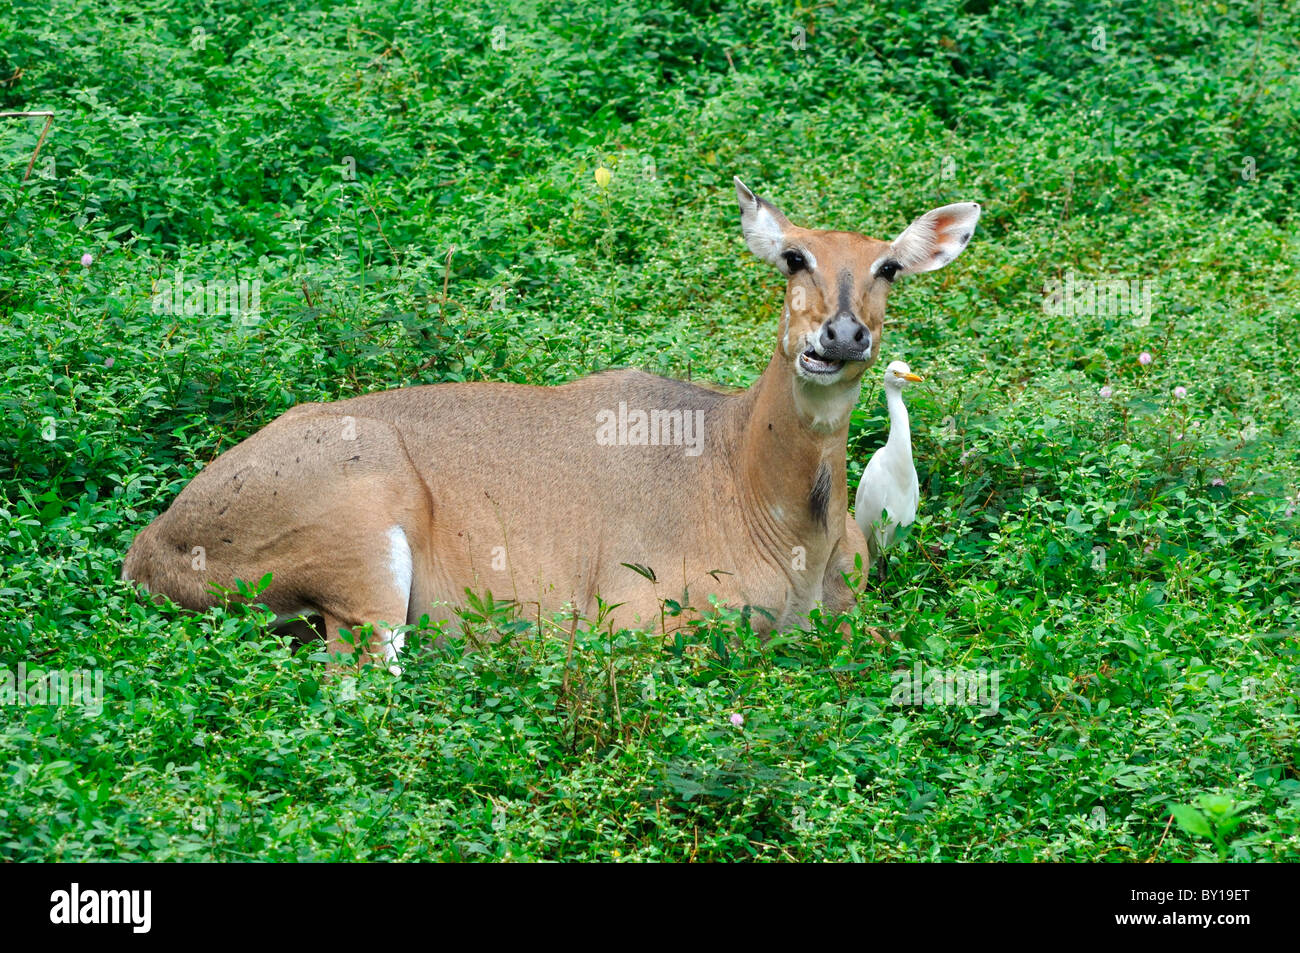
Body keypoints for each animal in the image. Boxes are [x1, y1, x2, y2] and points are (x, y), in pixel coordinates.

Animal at [122, 178, 980, 673]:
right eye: (795, 257)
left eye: (889, 266)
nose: (841, 335)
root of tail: (149, 551)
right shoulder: (634, 616)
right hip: (358, 539)